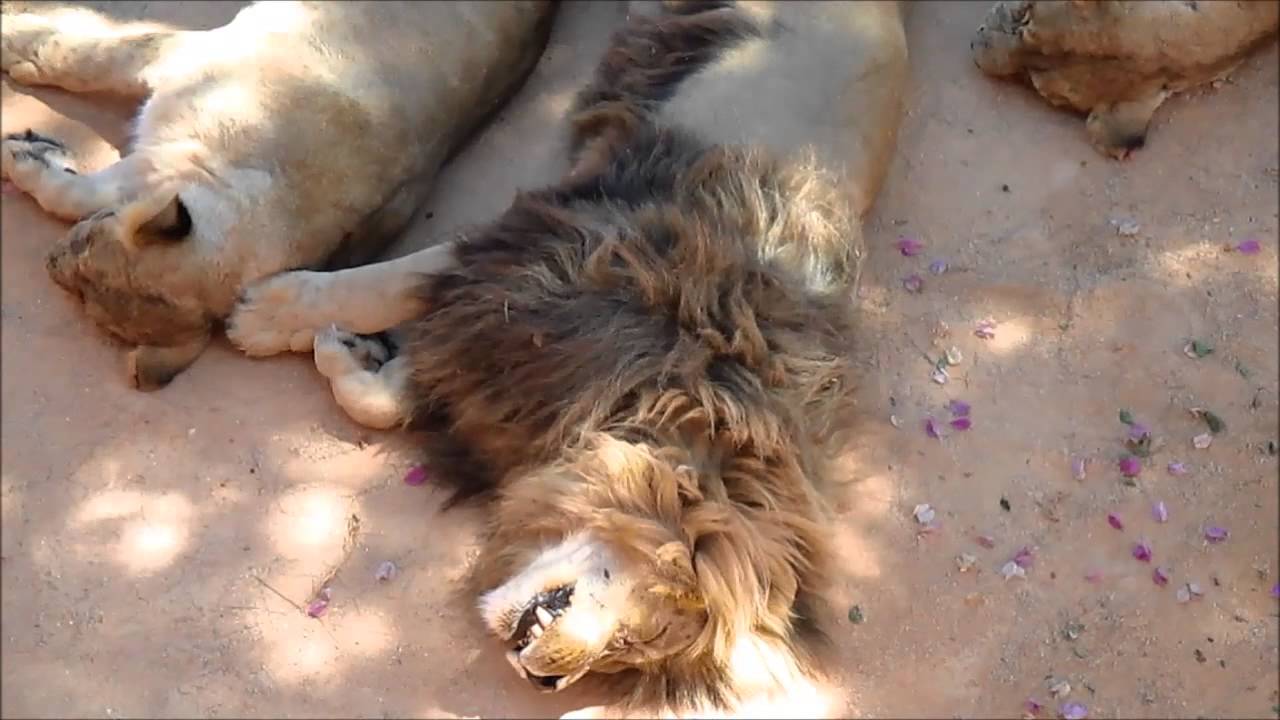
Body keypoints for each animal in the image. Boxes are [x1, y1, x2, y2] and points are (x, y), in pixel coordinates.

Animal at [229, 1, 909, 717]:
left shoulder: (499, 375)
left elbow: (385, 400)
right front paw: (264, 313)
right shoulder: (534, 255)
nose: (546, 684)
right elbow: (381, 287)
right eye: (654, 619)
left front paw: (352, 355)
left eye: (630, 654)